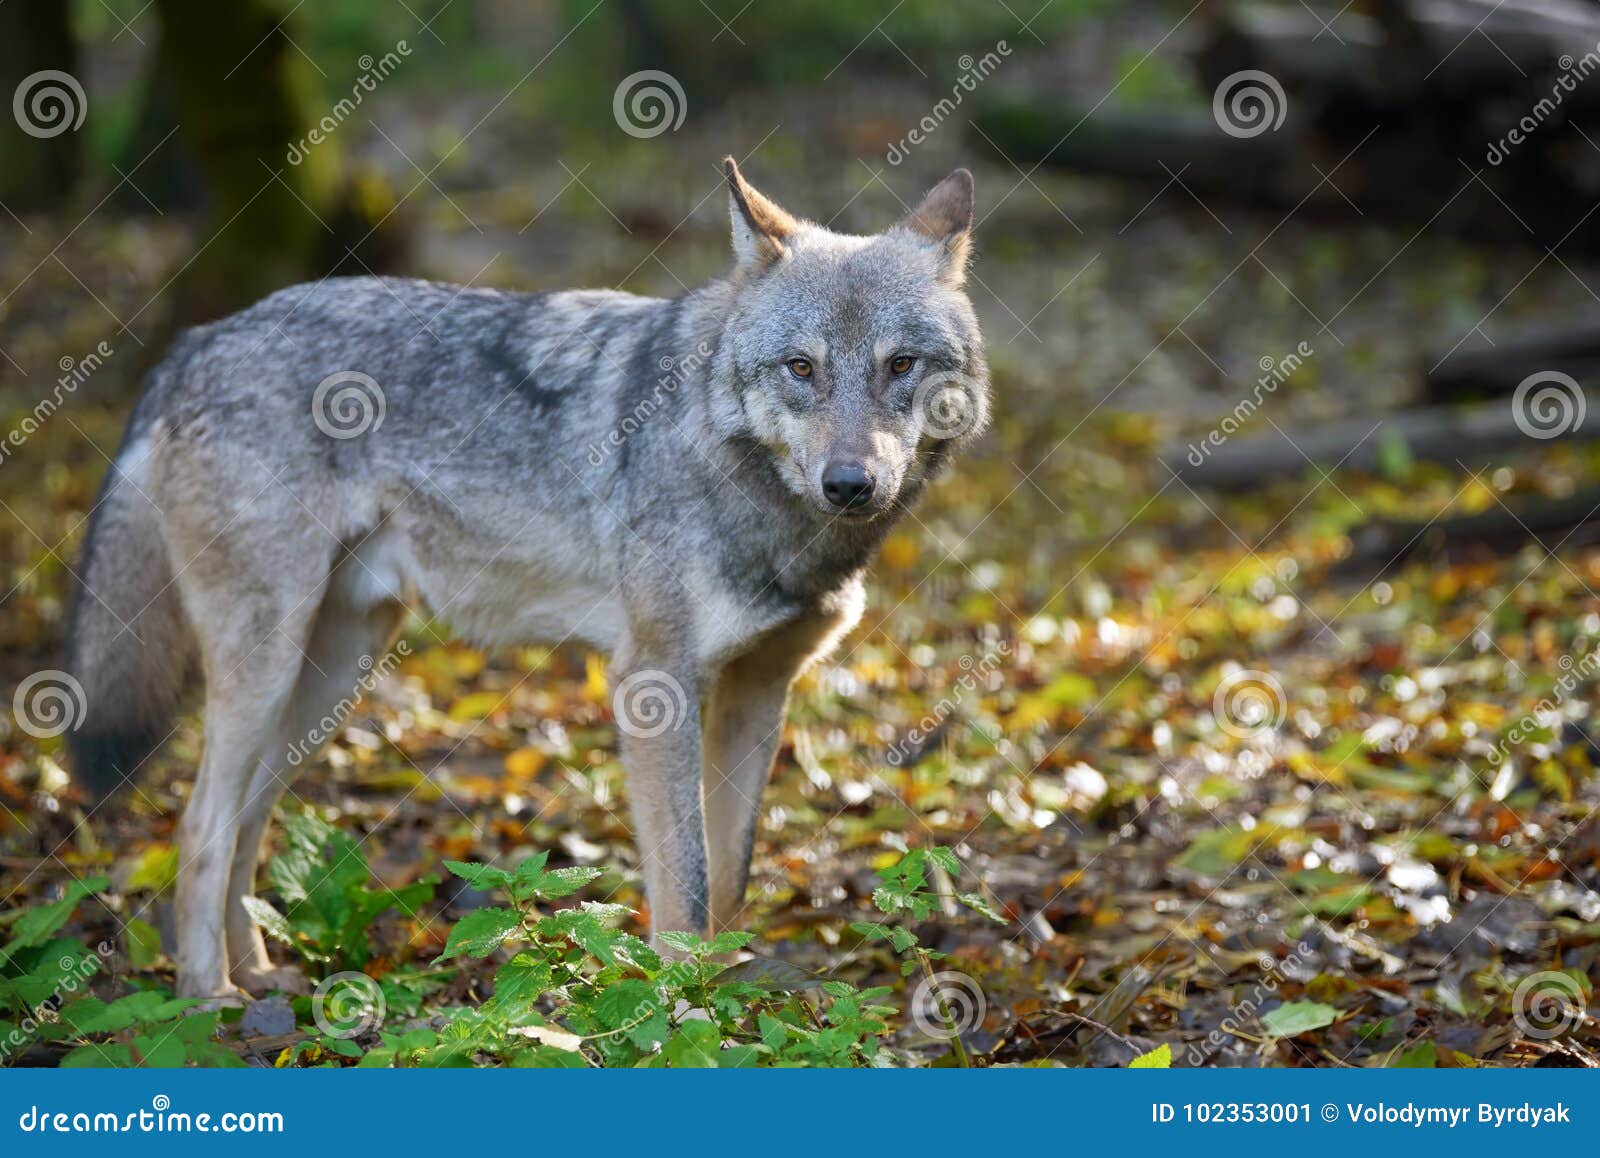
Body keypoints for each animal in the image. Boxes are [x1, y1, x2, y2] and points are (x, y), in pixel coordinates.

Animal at [65, 159, 990, 999]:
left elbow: (729, 876)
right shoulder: (653, 685)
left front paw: (720, 996)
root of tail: (195, 344)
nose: (849, 484)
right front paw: (678, 1010)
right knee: (198, 827)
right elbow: (684, 888)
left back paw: (259, 975)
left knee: (248, 822)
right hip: (267, 669)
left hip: (329, 679)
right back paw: (207, 998)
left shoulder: (759, 689)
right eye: (802, 368)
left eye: (899, 365)